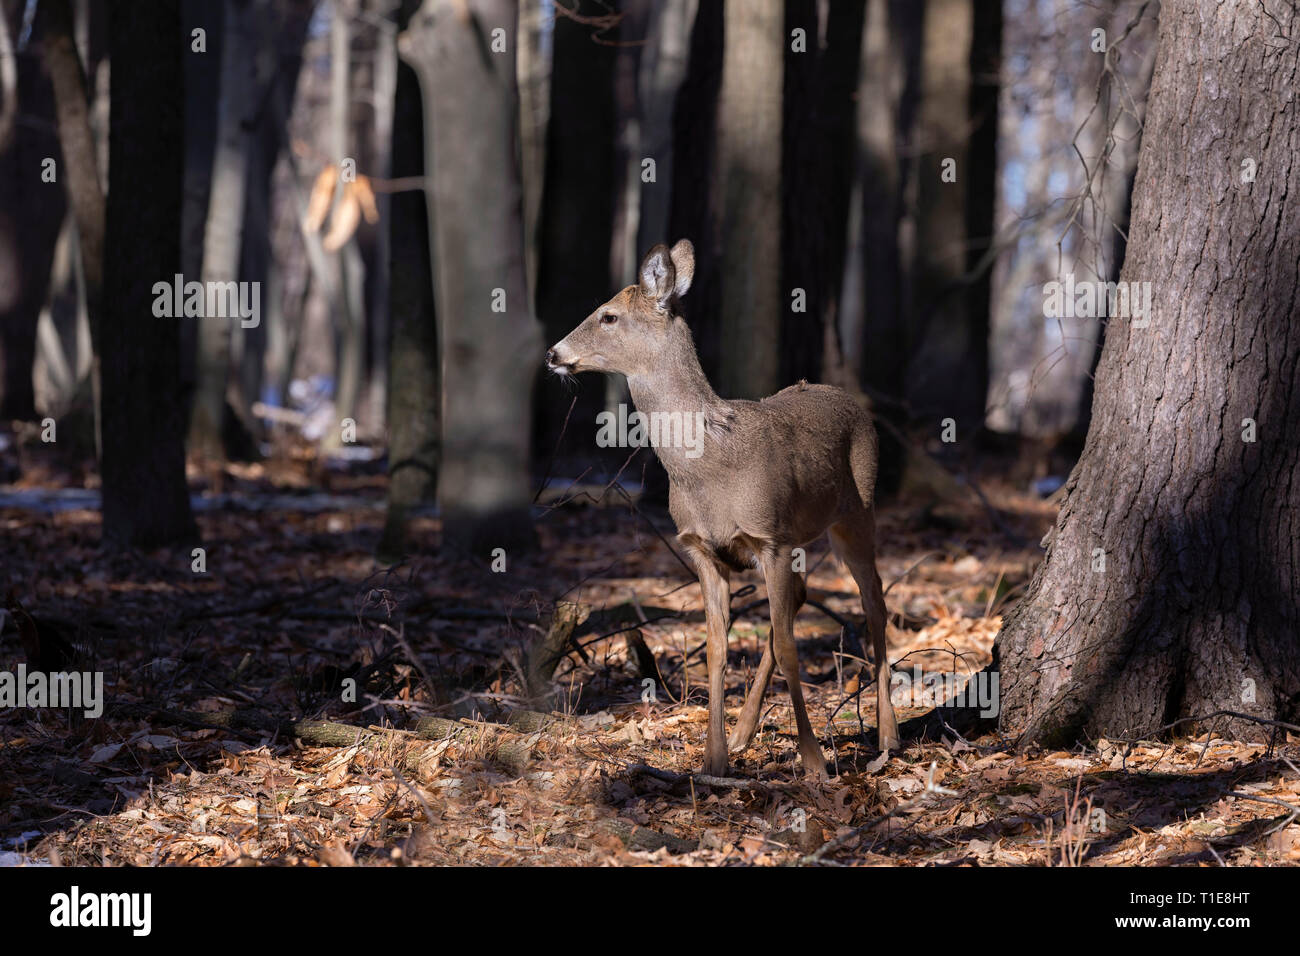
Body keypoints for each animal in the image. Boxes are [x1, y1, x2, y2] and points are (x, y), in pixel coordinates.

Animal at [545, 239, 900, 778]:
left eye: (607, 316)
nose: (554, 354)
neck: (708, 466)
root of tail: (849, 398)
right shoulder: (702, 548)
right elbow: (716, 648)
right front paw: (714, 759)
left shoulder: (769, 537)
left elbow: (789, 647)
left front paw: (814, 762)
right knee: (804, 598)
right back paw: (743, 732)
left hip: (856, 512)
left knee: (874, 601)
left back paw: (887, 734)